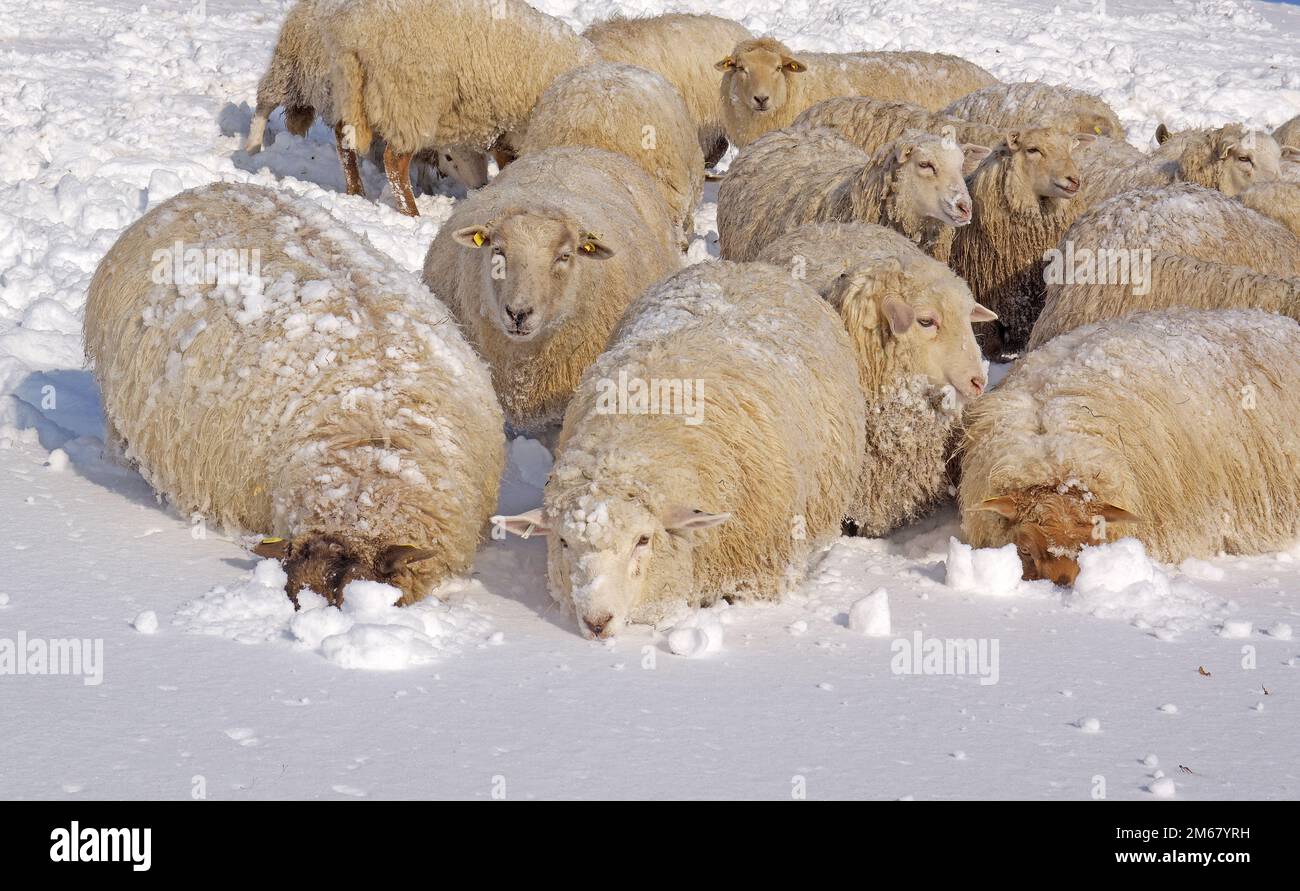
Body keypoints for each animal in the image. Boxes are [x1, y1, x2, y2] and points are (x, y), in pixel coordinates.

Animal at [244, 0, 488, 193]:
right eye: (449, 158)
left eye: (483, 154)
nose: (480, 186)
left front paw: (426, 185)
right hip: (287, 72)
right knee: (264, 103)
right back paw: (252, 147)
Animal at [322, 0, 597, 215]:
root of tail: (355, 37)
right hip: (411, 103)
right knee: (394, 161)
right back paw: (412, 213)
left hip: (353, 93)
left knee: (343, 137)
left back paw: (356, 191)